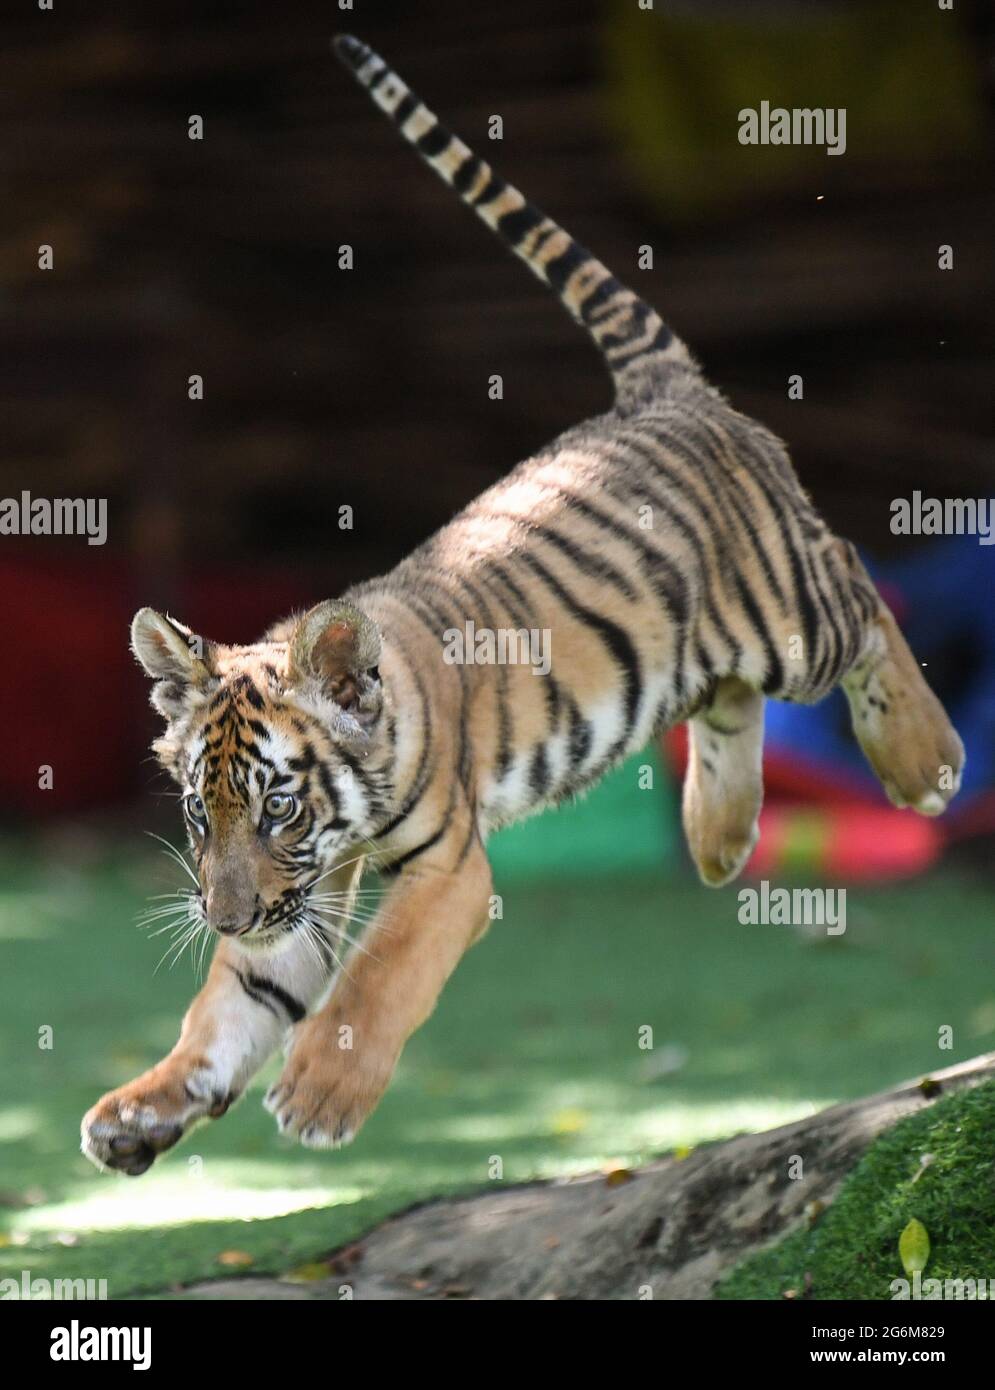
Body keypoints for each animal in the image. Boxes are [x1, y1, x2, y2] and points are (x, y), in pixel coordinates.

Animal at [82, 35, 964, 1175]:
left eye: (279, 804)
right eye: (200, 808)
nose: (226, 914)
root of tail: (664, 391)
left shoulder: (445, 867)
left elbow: (376, 977)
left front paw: (317, 1095)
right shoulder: (299, 896)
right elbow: (227, 1010)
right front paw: (138, 1113)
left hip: (791, 616)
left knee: (861, 594)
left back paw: (924, 762)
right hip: (702, 652)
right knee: (727, 702)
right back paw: (719, 837)